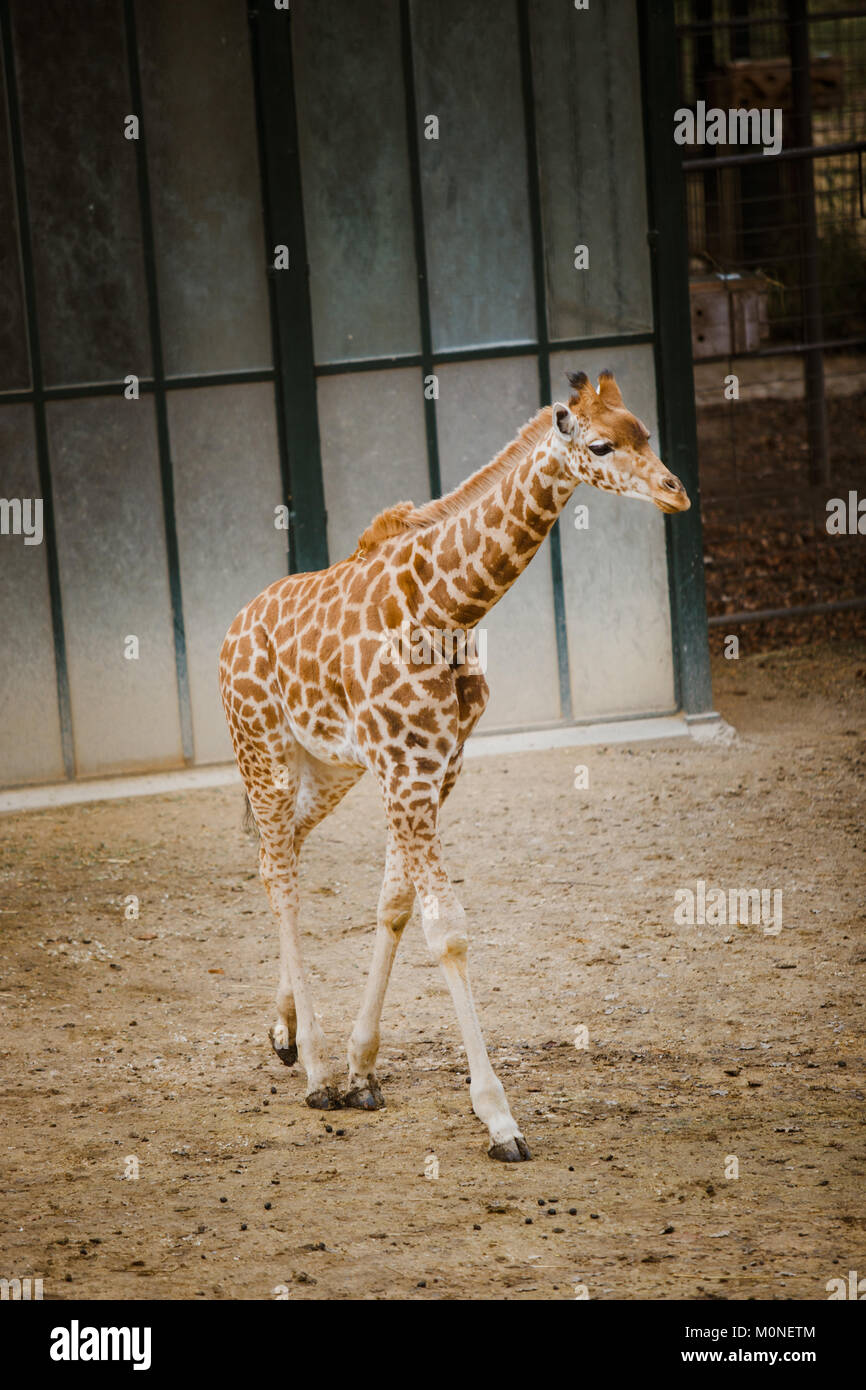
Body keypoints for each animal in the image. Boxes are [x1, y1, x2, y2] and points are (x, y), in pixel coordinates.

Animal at [219, 369, 690, 1161]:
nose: (674, 492)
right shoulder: (406, 771)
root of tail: (229, 632)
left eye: (646, 433)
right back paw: (312, 1068)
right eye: (600, 445)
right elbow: (449, 928)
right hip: (264, 751)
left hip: (326, 768)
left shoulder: (432, 769)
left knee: (276, 850)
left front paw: (364, 1068)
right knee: (281, 874)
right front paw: (498, 1118)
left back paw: (285, 1033)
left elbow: (395, 905)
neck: (447, 607)